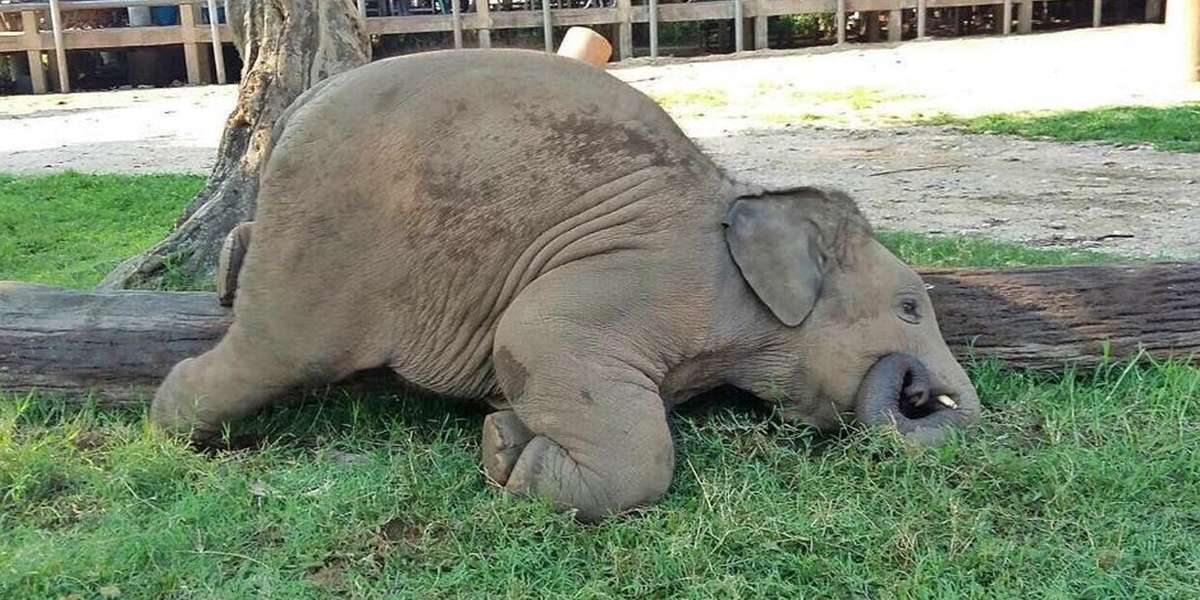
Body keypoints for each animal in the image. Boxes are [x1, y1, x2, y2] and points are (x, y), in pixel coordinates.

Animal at [151, 49, 981, 522]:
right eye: (911, 306)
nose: (919, 389)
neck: (743, 198)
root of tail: (300, 104)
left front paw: (503, 443)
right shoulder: (644, 275)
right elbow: (537, 332)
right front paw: (506, 462)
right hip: (327, 234)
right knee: (275, 352)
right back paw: (175, 424)